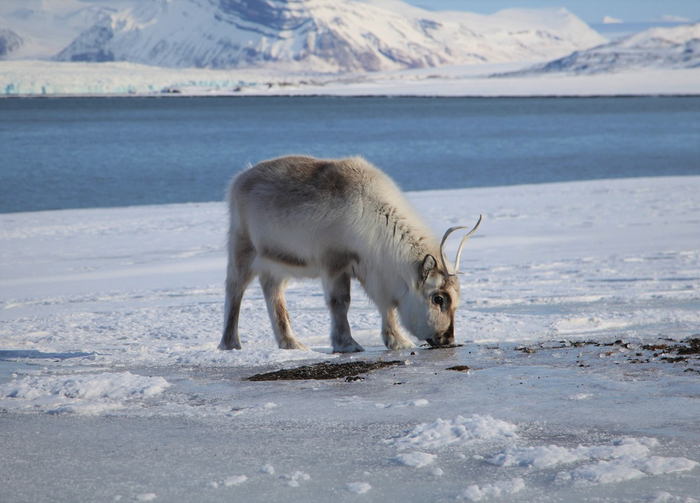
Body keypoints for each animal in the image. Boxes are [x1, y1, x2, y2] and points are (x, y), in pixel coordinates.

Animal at [219, 155, 481, 353]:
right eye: (438, 298)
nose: (448, 339)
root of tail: (238, 179)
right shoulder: (335, 261)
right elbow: (340, 302)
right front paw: (347, 344)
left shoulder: (374, 272)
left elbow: (386, 305)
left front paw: (398, 341)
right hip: (242, 248)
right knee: (234, 290)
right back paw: (230, 343)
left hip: (277, 264)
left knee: (273, 293)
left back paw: (291, 343)